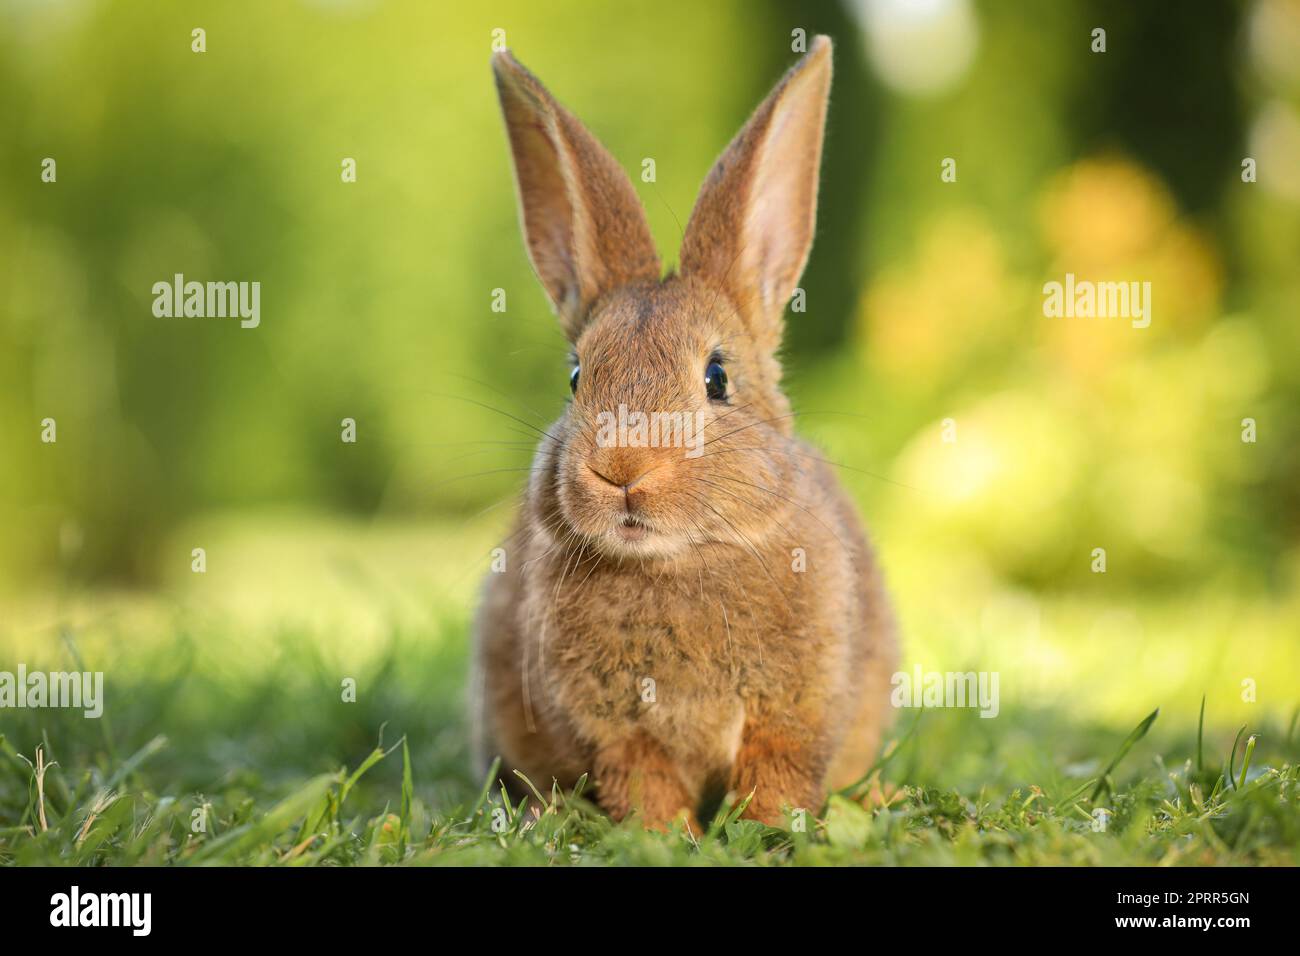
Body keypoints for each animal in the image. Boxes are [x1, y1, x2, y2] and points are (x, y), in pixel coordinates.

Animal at [471, 34, 898, 829]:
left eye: (717, 377)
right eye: (577, 377)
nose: (622, 468)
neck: (677, 560)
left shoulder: (793, 713)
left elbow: (778, 774)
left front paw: (770, 831)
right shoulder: (615, 732)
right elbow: (644, 783)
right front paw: (668, 837)